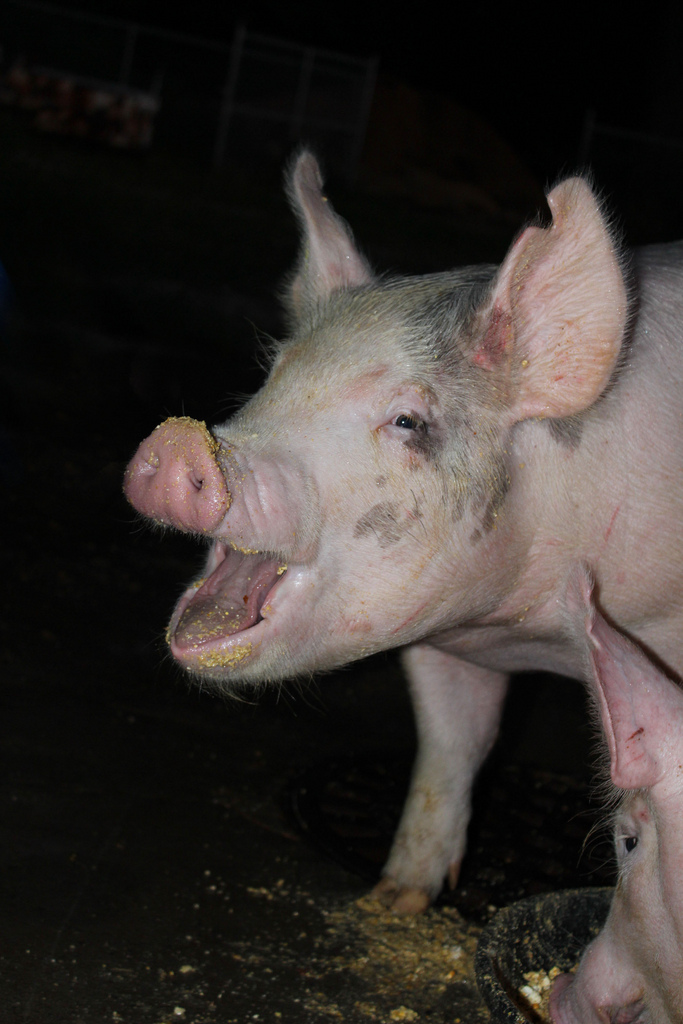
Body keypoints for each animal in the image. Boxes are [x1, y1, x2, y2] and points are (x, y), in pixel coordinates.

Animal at [124, 149, 683, 913]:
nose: (180, 442)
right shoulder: (442, 640)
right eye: (273, 377)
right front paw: (392, 903)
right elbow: (454, 748)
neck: (532, 628)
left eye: (407, 421)